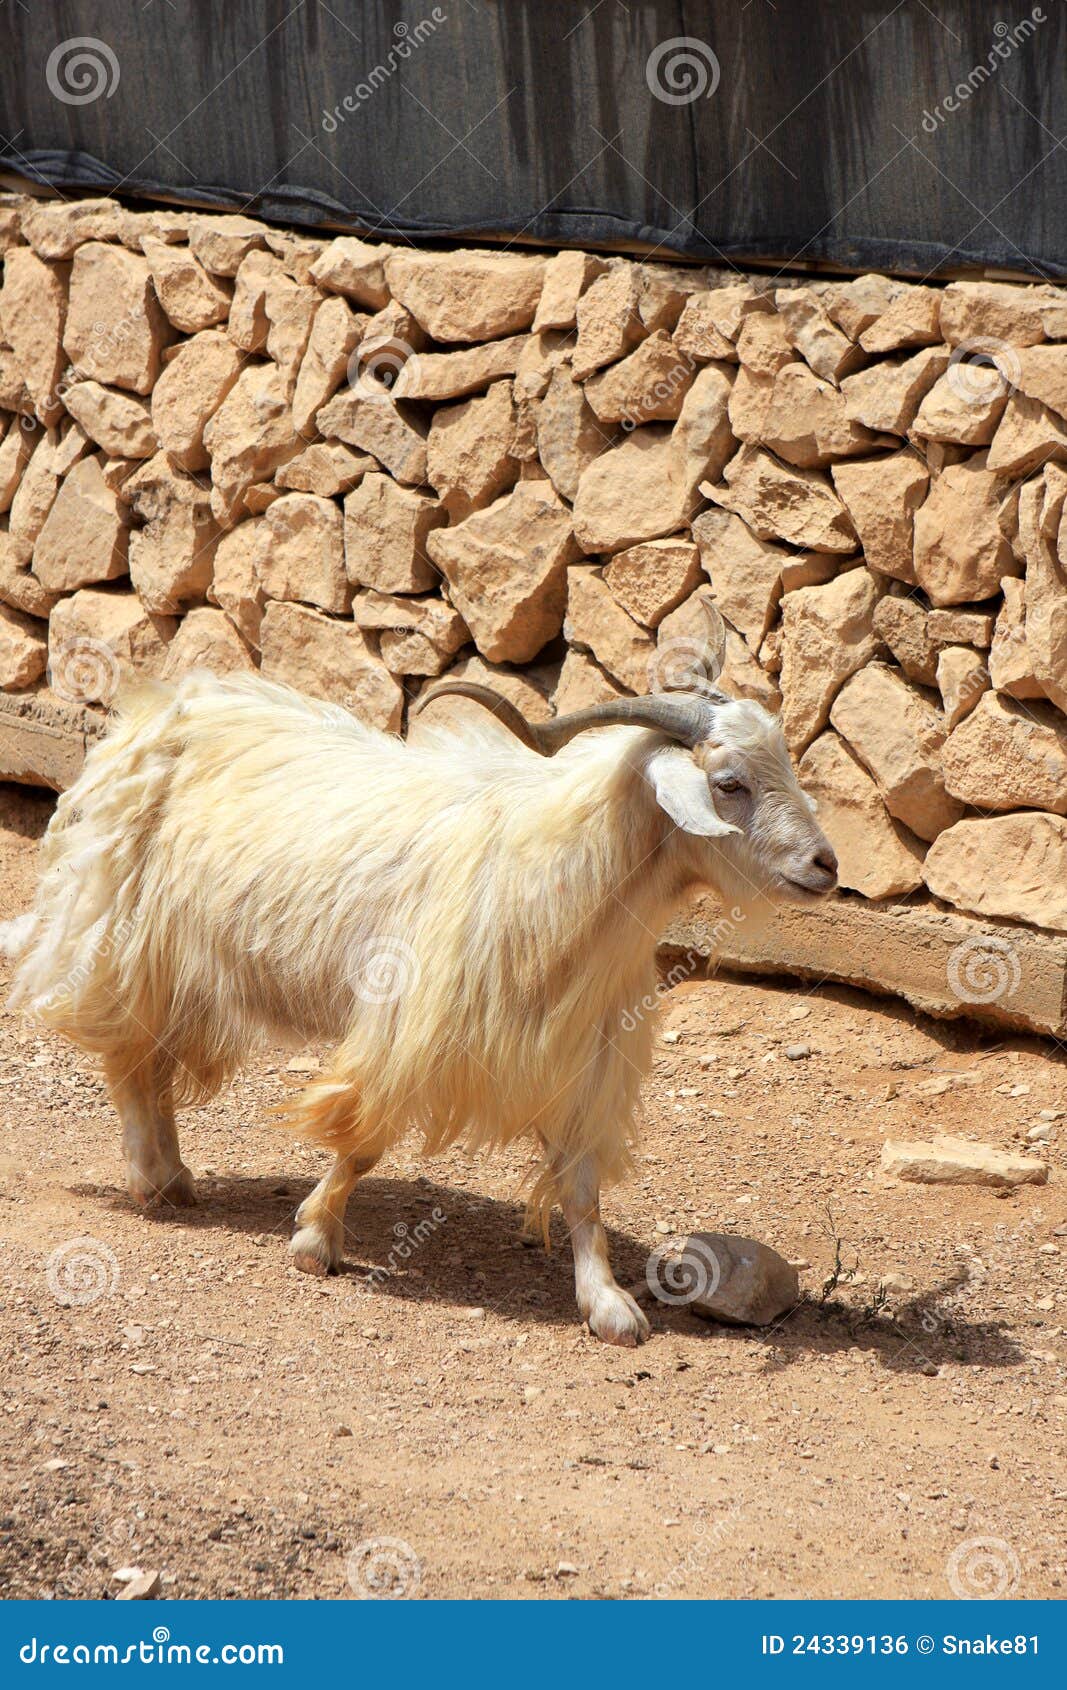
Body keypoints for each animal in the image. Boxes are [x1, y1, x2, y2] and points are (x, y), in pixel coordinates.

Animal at [3, 667, 836, 1346]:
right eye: (728, 782)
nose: (825, 864)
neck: (560, 860)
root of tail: (157, 712)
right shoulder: (412, 1025)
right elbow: (363, 1142)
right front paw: (314, 1239)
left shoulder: (579, 1054)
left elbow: (580, 1186)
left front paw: (606, 1306)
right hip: (126, 935)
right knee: (129, 1057)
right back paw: (151, 1179)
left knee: (150, 1060)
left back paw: (174, 1175)